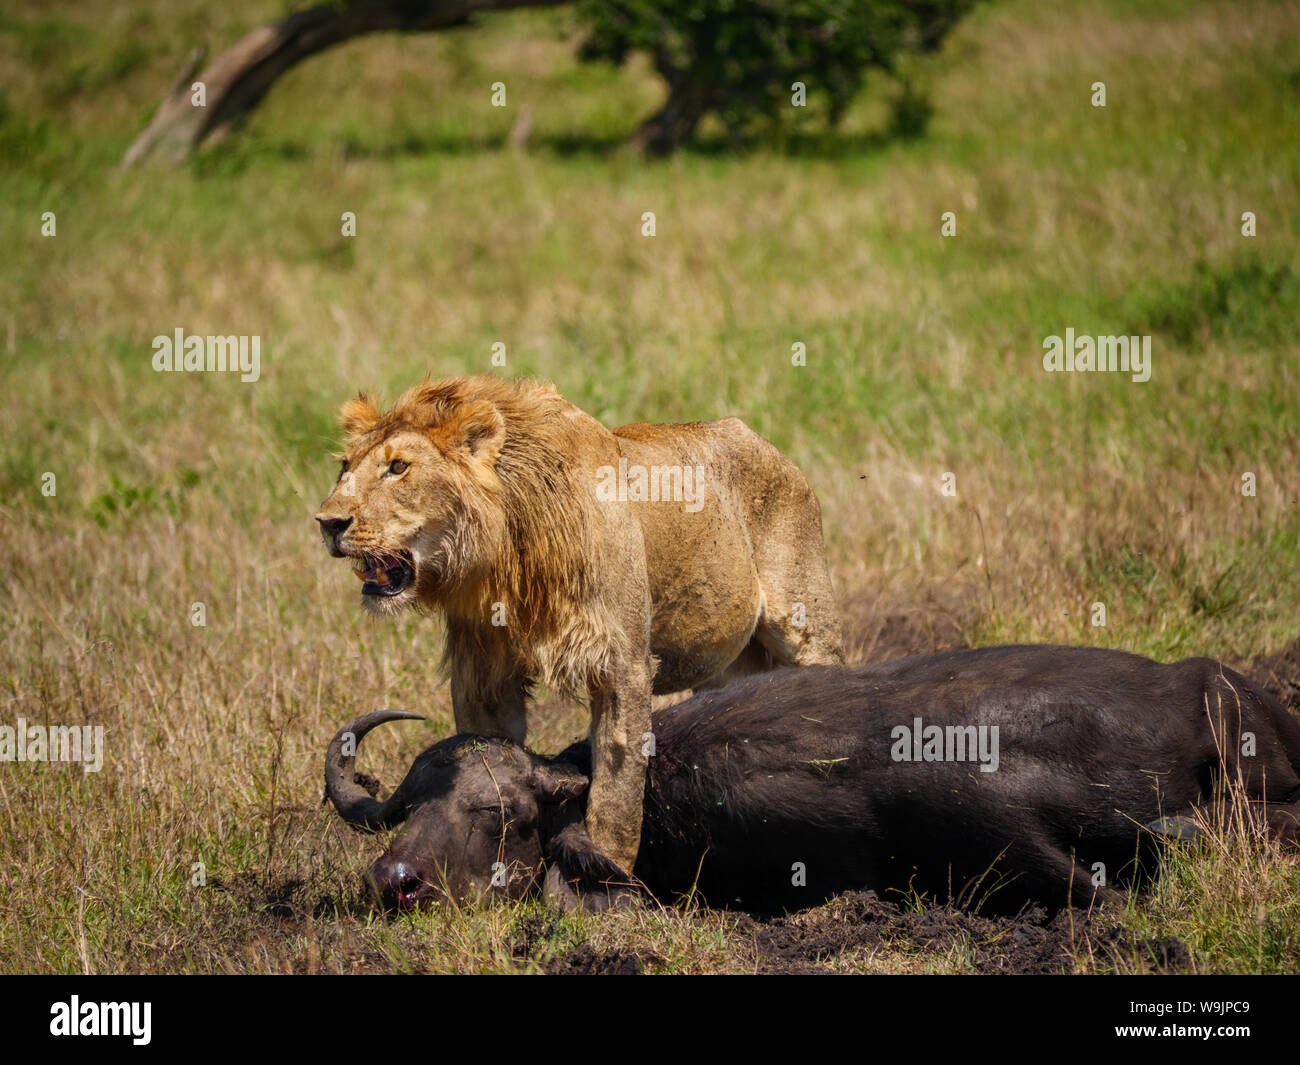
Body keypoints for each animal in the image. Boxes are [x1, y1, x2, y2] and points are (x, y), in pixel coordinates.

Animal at [315, 375, 843, 873]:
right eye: (344, 467)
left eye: (399, 467)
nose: (327, 522)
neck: (510, 553)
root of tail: (762, 441)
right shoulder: (483, 678)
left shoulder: (622, 667)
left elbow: (615, 799)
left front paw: (604, 883)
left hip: (806, 625)